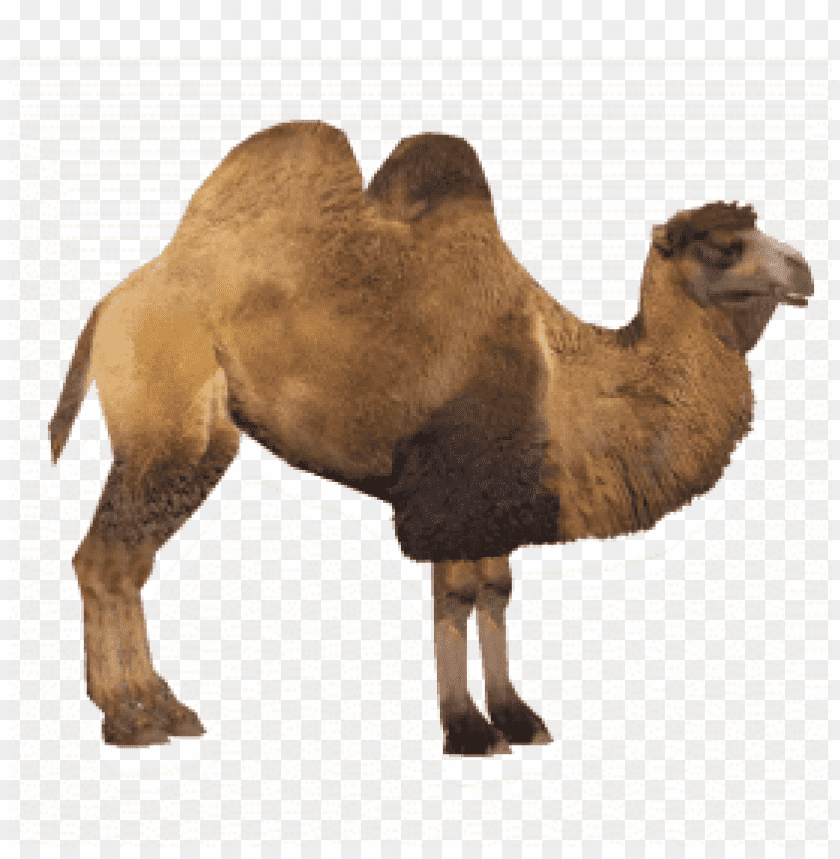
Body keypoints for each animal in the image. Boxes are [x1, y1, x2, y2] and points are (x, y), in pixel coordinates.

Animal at [49, 121, 814, 756]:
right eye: (725, 248)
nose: (805, 269)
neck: (566, 385)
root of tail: (112, 303)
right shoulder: (448, 492)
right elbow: (456, 601)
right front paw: (468, 730)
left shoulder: (497, 499)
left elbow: (496, 593)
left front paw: (518, 718)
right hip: (168, 430)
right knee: (104, 559)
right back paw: (128, 719)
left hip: (190, 442)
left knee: (129, 562)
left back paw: (162, 708)